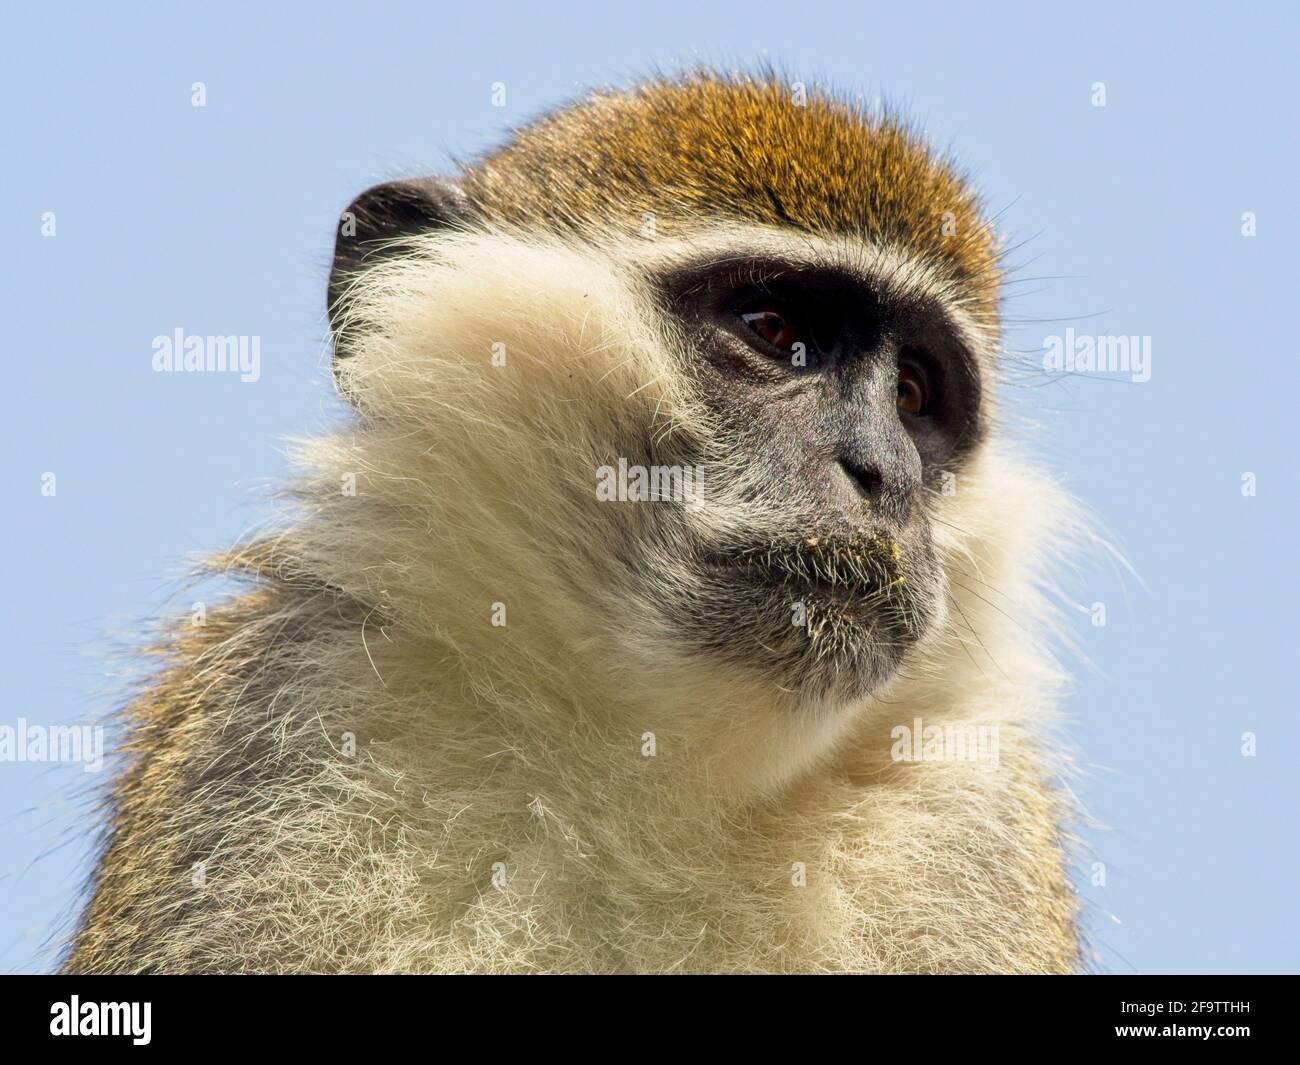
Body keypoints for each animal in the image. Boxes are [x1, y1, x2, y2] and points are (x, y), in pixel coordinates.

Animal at [66, 72, 1087, 974]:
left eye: (913, 393)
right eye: (772, 328)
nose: (884, 475)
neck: (646, 776)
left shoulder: (966, 812)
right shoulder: (287, 717)